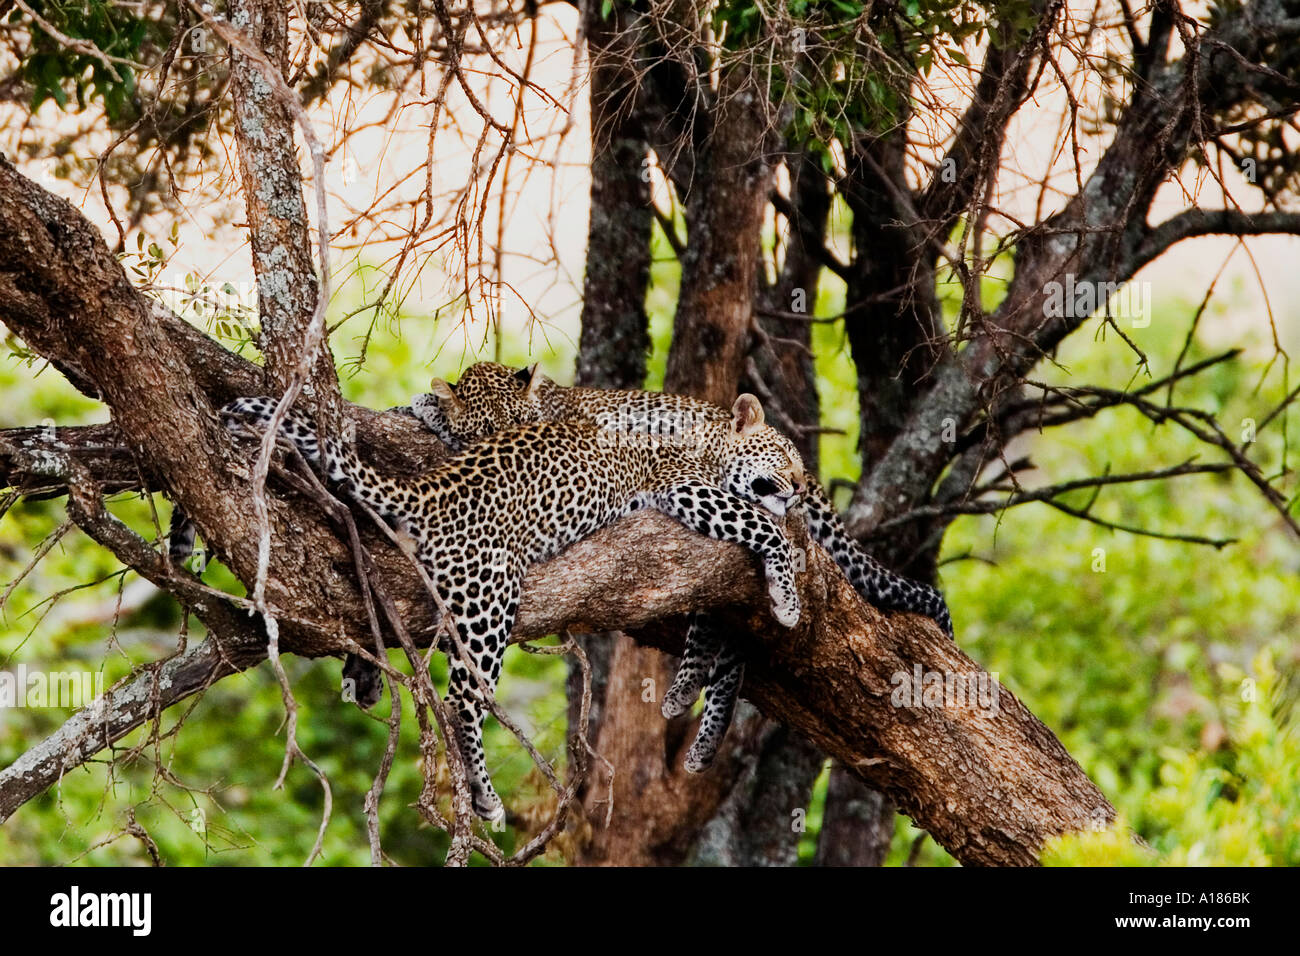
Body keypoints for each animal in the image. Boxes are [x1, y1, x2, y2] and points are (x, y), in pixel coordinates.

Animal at [220, 391, 807, 821]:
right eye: (785, 456)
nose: (802, 489)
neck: (706, 442)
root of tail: (428, 490)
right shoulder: (689, 489)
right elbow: (765, 529)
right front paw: (789, 596)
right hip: (489, 603)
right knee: (461, 701)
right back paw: (484, 796)